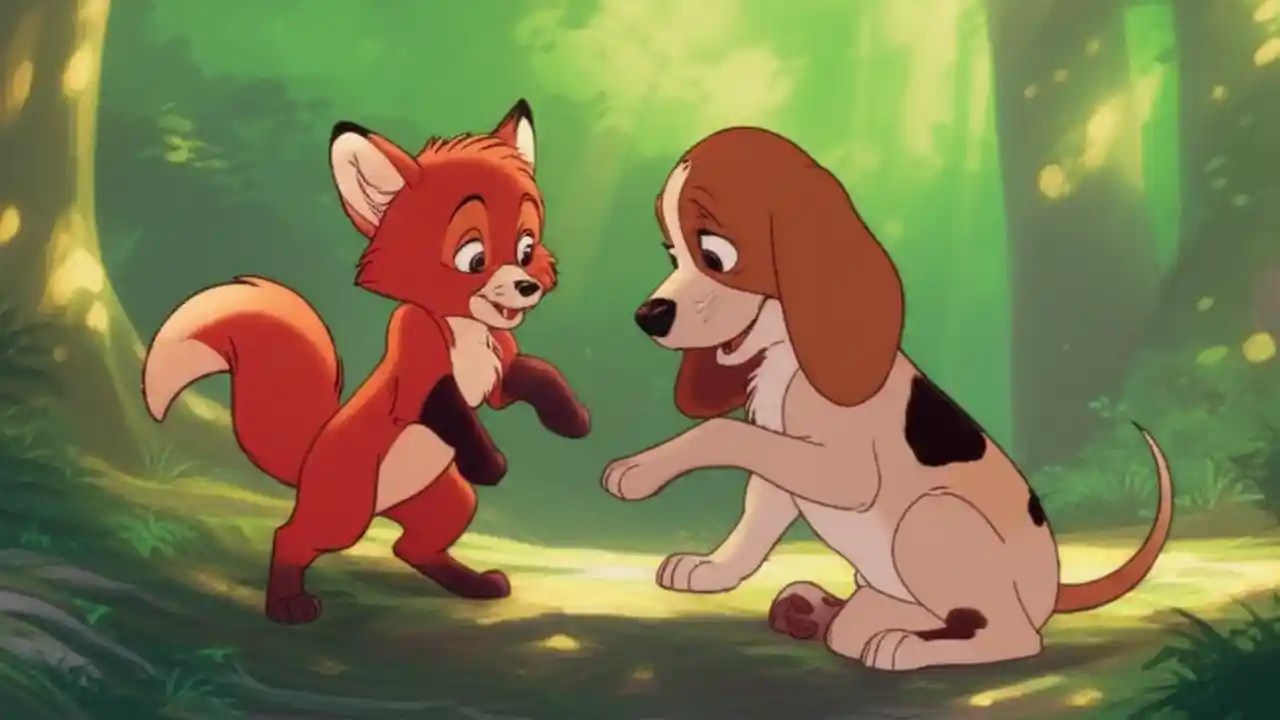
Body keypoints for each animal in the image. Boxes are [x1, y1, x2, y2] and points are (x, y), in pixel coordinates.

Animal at [141, 99, 591, 625]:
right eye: (473, 258)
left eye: (526, 247)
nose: (527, 286)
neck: (466, 330)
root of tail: (310, 457)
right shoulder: (419, 369)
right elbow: (454, 409)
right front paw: (493, 464)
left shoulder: (499, 376)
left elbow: (541, 375)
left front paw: (572, 420)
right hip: (344, 514)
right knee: (291, 537)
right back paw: (288, 606)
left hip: (449, 501)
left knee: (410, 548)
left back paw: (476, 585)